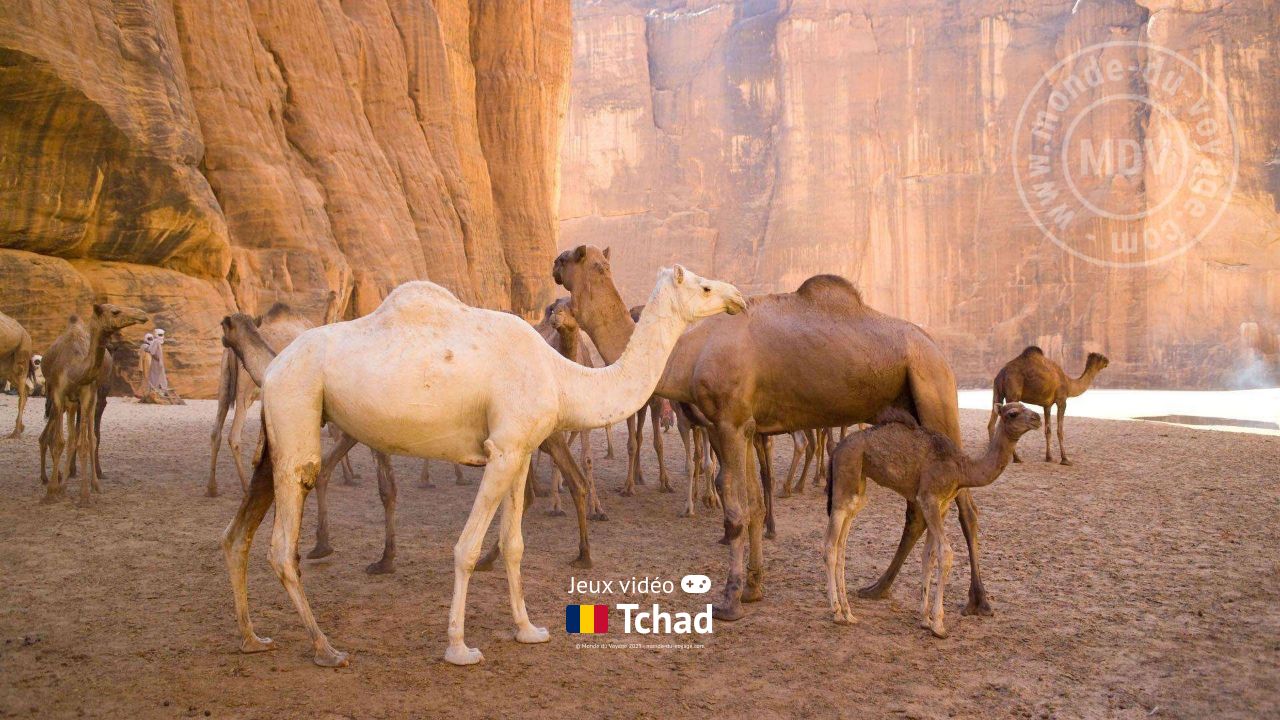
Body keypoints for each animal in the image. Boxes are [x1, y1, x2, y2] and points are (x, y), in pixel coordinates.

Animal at [39, 304, 146, 502]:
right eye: (115, 311)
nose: (142, 315)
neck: (74, 369)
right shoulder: (58, 394)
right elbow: (59, 442)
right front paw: (52, 491)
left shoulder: (89, 395)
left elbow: (86, 441)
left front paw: (84, 494)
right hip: (66, 402)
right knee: (61, 437)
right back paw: (58, 481)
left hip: (81, 402)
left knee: (84, 438)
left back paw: (84, 483)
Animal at [218, 265, 742, 666]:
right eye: (703, 287)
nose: (738, 297)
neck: (561, 375)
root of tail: (274, 365)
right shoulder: (503, 448)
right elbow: (467, 547)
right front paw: (458, 647)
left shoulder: (521, 449)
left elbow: (513, 545)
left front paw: (528, 629)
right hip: (297, 409)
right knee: (282, 543)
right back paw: (326, 648)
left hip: (278, 429)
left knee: (235, 534)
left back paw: (251, 638)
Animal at [555, 243, 983, 620]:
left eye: (577, 257)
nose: (555, 264)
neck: (688, 354)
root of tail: (938, 351)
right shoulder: (744, 427)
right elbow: (756, 506)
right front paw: (753, 587)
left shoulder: (727, 422)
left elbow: (734, 510)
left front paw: (729, 600)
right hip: (909, 415)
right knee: (917, 509)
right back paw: (878, 587)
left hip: (935, 394)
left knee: (965, 504)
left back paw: (977, 600)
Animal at [829, 399, 1039, 635]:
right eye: (1013, 413)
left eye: (1025, 406)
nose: (1037, 418)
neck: (961, 469)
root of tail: (837, 449)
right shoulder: (928, 498)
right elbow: (945, 553)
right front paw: (938, 624)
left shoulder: (942, 506)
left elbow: (927, 556)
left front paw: (925, 619)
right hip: (845, 477)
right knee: (830, 544)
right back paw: (837, 613)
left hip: (857, 485)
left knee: (842, 543)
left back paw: (848, 613)